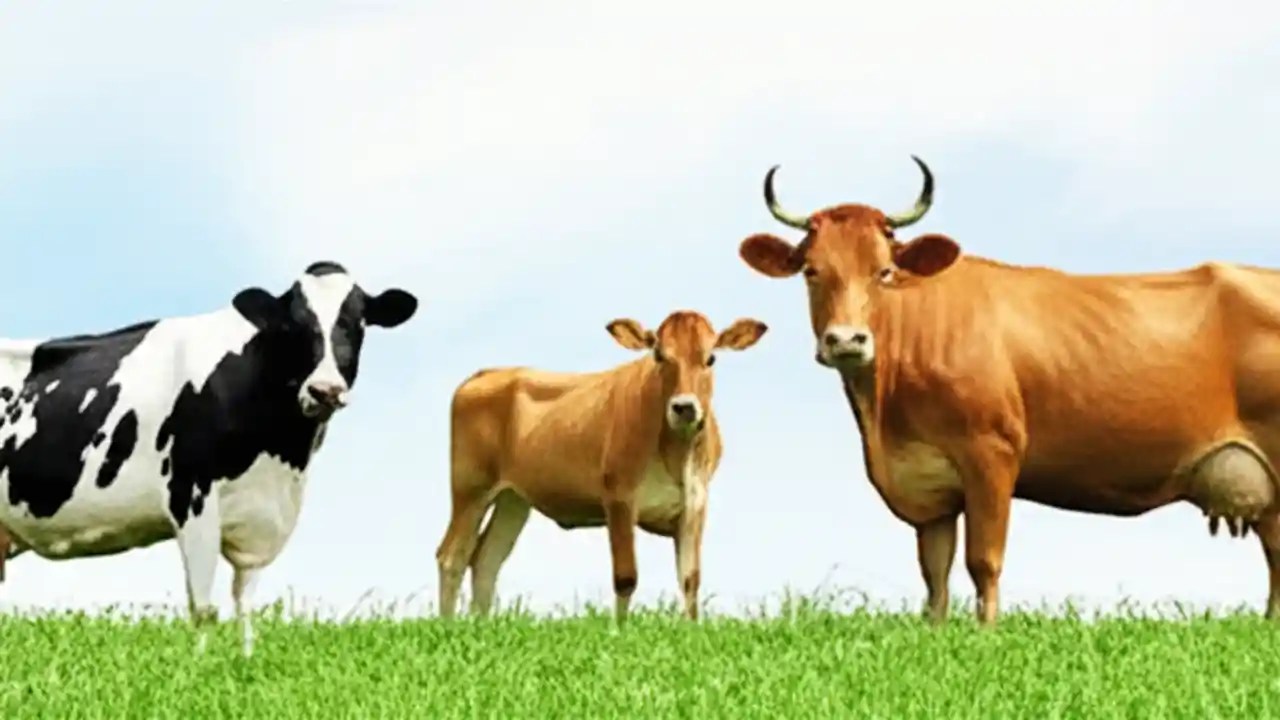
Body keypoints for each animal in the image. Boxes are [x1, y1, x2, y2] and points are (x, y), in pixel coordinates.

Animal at [0, 261, 417, 654]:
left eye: (358, 322)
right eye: (293, 324)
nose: (325, 389)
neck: (282, 456)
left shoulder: (259, 518)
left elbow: (245, 605)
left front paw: (246, 660)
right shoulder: (191, 495)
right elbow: (203, 608)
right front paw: (199, 667)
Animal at [437, 311, 768, 623]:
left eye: (710, 358)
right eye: (659, 355)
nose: (684, 407)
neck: (677, 457)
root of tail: (488, 373)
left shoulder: (695, 504)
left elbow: (690, 579)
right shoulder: (619, 498)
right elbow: (625, 578)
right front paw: (619, 631)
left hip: (513, 498)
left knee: (486, 559)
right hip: (470, 487)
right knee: (452, 556)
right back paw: (448, 625)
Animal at [736, 156, 1280, 626]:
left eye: (884, 271)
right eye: (812, 271)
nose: (846, 340)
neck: (884, 418)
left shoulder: (991, 453)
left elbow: (984, 559)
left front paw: (986, 634)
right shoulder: (927, 479)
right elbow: (934, 571)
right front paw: (934, 633)